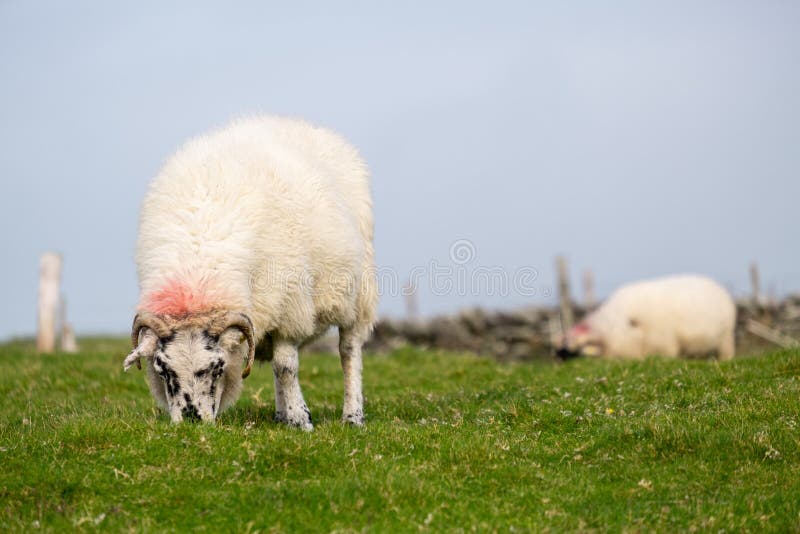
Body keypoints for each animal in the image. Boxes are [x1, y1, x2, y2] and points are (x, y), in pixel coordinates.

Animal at [123, 115, 377, 429]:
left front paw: (301, 421)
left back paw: (352, 416)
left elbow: (286, 366)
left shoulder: (289, 309)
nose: (192, 421)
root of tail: (298, 123)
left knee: (349, 351)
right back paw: (281, 415)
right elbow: (281, 367)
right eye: (163, 369)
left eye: (217, 367)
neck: (197, 269)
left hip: (358, 294)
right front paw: (292, 416)